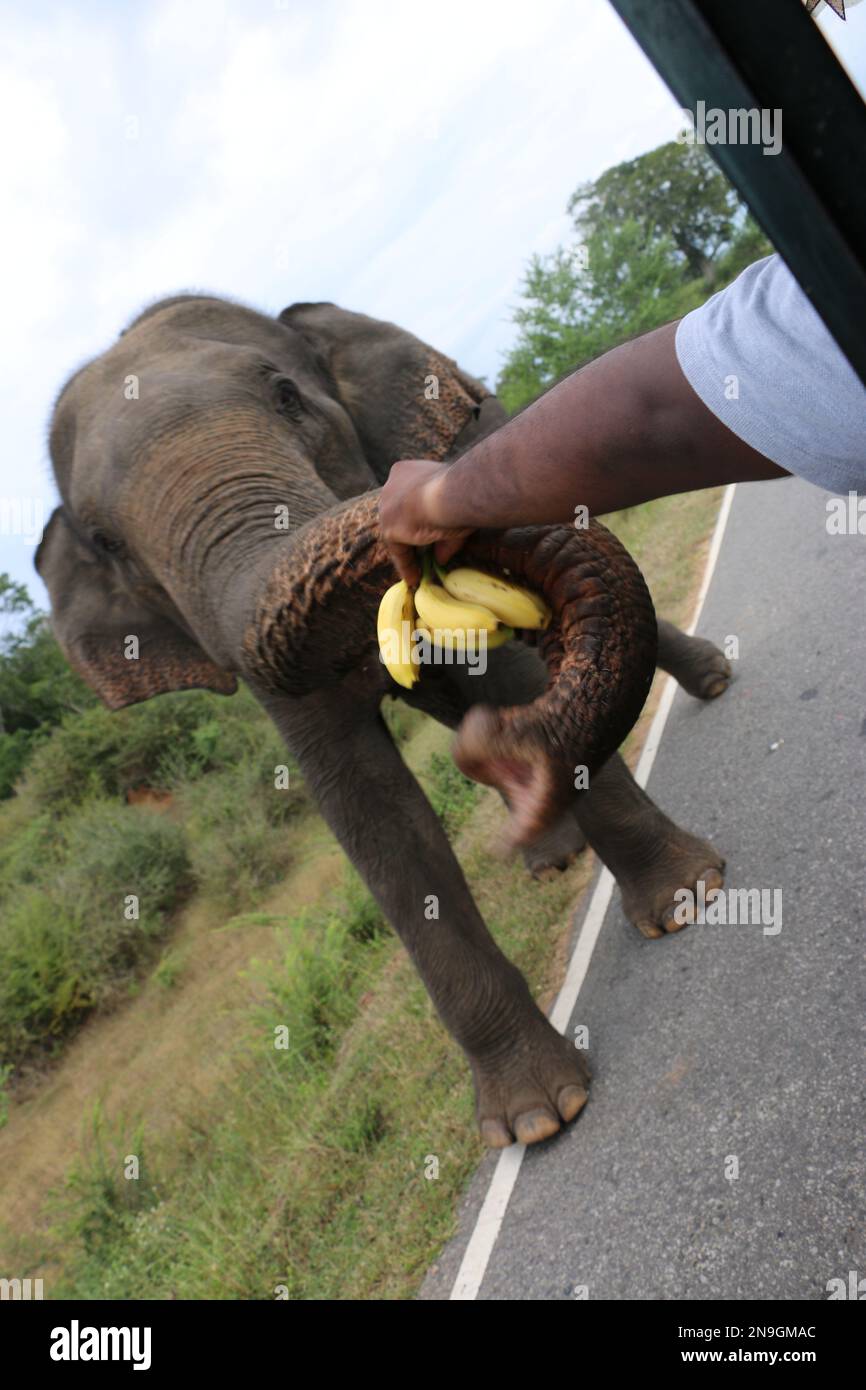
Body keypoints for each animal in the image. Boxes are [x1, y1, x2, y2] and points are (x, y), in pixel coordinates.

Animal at [35, 294, 728, 1148]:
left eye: (286, 396)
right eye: (108, 543)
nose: (411, 519)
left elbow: (507, 682)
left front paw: (688, 902)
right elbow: (371, 813)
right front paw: (536, 1121)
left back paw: (712, 681)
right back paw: (549, 855)